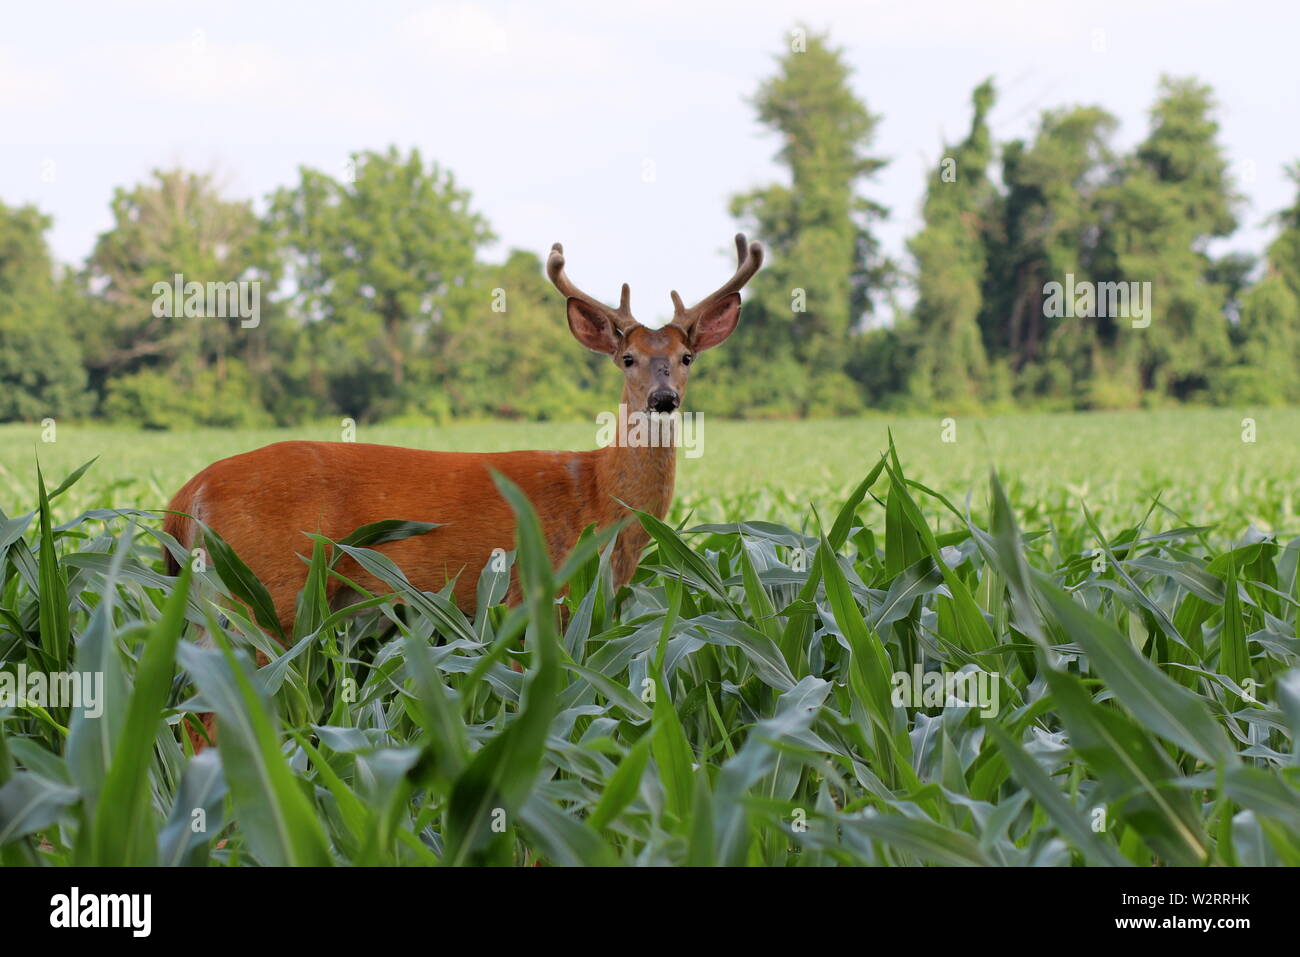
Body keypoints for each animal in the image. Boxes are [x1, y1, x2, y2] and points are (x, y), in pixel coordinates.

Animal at [163, 234, 763, 644]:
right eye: (629, 357)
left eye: (687, 357)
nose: (663, 399)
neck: (597, 496)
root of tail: (184, 495)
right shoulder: (536, 594)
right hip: (266, 591)